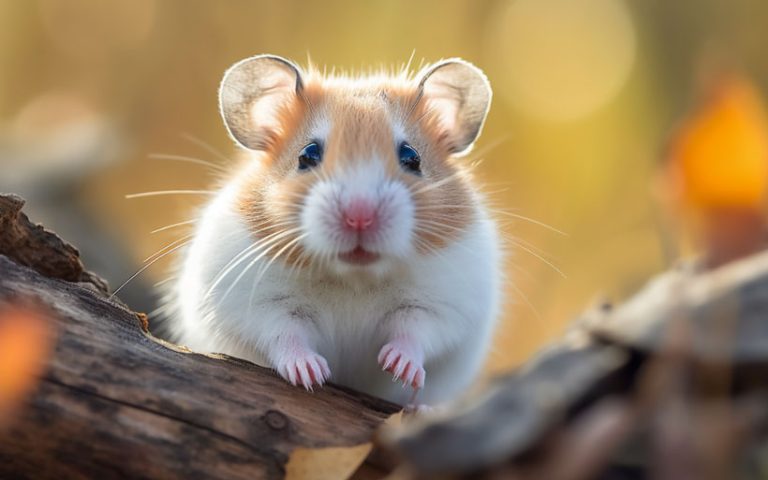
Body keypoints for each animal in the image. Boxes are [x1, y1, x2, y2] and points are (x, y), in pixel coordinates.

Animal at [163, 54, 503, 407]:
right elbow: (283, 333)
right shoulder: (255, 304)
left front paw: (398, 367)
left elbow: (416, 332)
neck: (354, 279)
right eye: (308, 154)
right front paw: (310, 374)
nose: (359, 216)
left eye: (412, 157)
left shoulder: (444, 306)